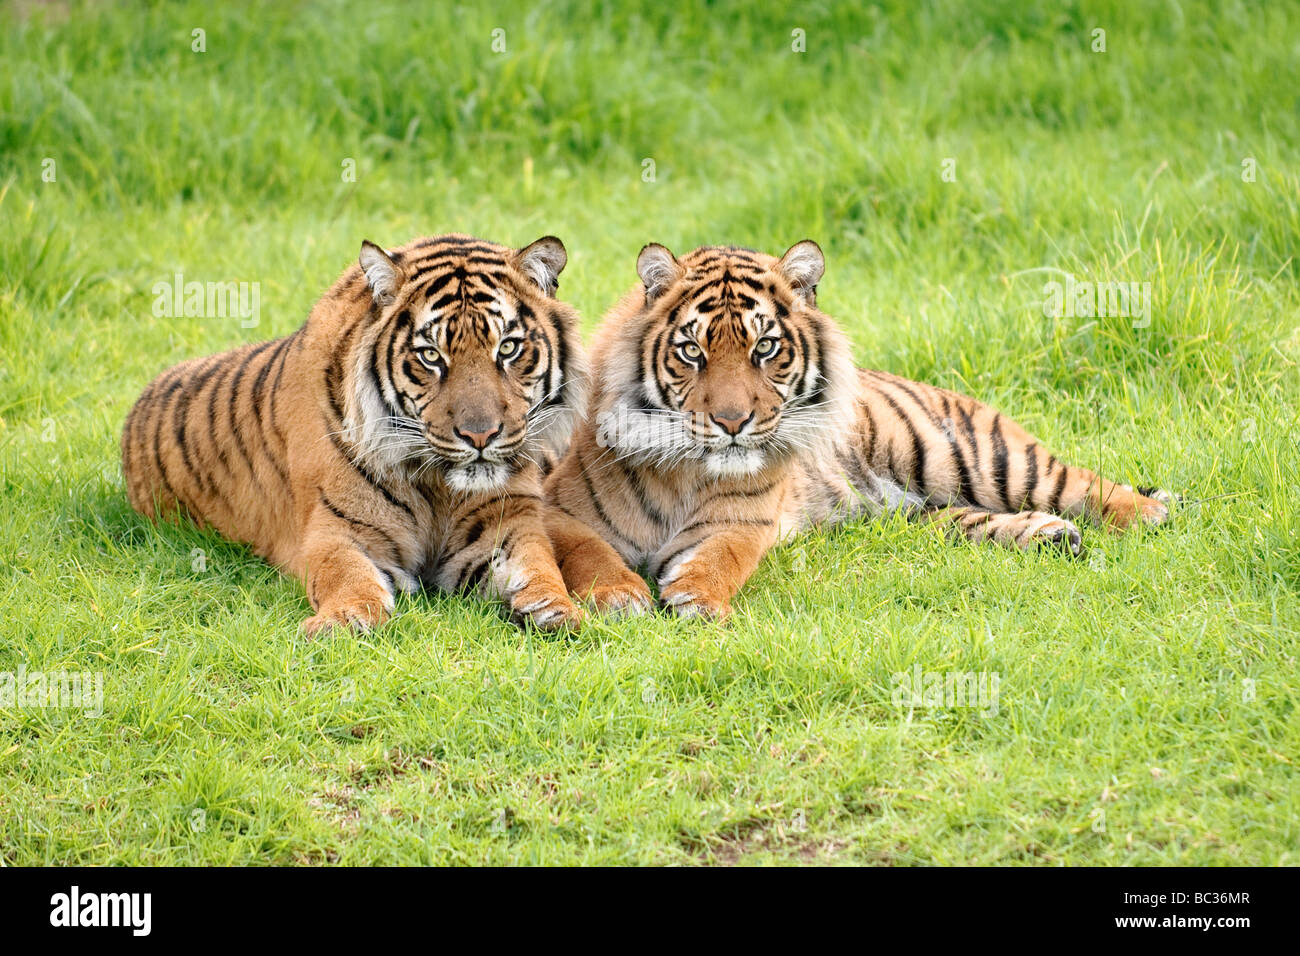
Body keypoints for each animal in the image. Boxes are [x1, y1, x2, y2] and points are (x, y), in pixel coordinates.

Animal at [122, 233, 587, 634]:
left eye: (507, 348)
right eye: (430, 356)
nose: (479, 436)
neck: (439, 485)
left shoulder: (508, 523)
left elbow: (539, 564)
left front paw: (558, 609)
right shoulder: (337, 530)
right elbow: (347, 576)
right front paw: (343, 621)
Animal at [543, 240, 1174, 620]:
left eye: (764, 347)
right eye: (692, 351)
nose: (732, 423)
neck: (684, 473)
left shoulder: (740, 523)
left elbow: (719, 559)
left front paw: (698, 599)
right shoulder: (559, 514)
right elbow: (589, 552)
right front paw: (620, 595)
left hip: (975, 457)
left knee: (1079, 482)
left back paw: (1146, 512)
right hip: (922, 514)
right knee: (971, 520)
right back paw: (1050, 535)